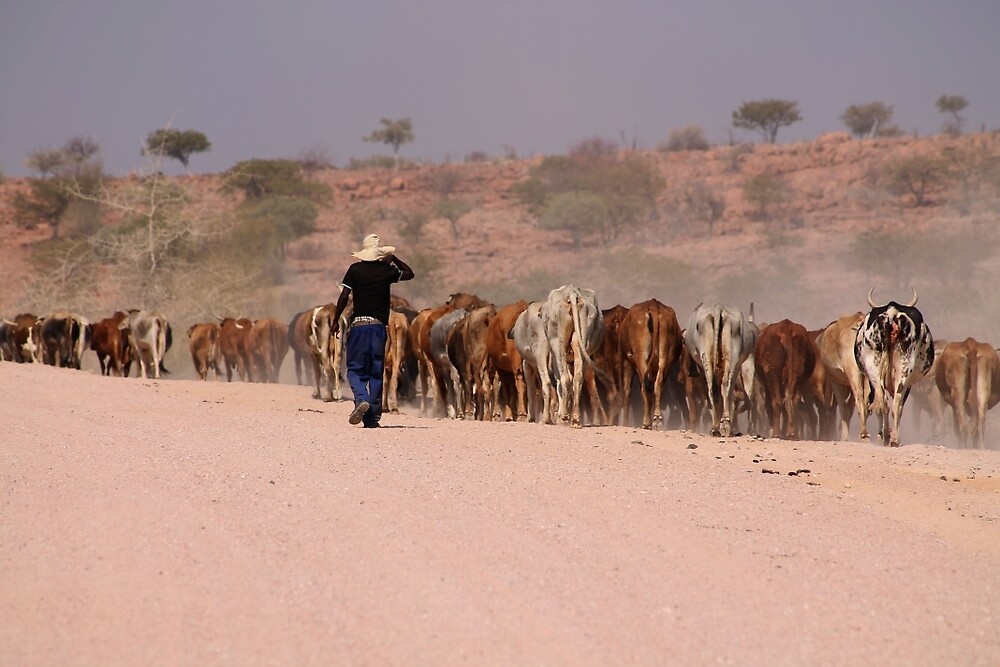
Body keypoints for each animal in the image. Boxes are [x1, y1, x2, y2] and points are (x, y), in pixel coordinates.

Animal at [541, 285, 605, 427]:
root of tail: (572, 293)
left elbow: (560, 381)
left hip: (558, 342)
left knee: (565, 378)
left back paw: (564, 418)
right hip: (583, 336)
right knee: (577, 377)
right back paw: (575, 419)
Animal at [618, 299, 683, 430]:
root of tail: (653, 305)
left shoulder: (626, 362)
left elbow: (627, 391)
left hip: (641, 356)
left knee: (644, 386)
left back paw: (646, 422)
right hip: (665, 357)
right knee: (658, 384)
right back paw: (657, 419)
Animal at [684, 303, 759, 437]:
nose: (691, 372)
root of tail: (718, 308)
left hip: (709, 358)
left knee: (714, 389)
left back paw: (718, 426)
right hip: (732, 358)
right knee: (725, 387)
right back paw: (725, 425)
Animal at [854, 287, 935, 447]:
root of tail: (892, 312)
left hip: (877, 368)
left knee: (885, 402)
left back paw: (888, 437)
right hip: (902, 369)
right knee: (893, 402)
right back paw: (891, 438)